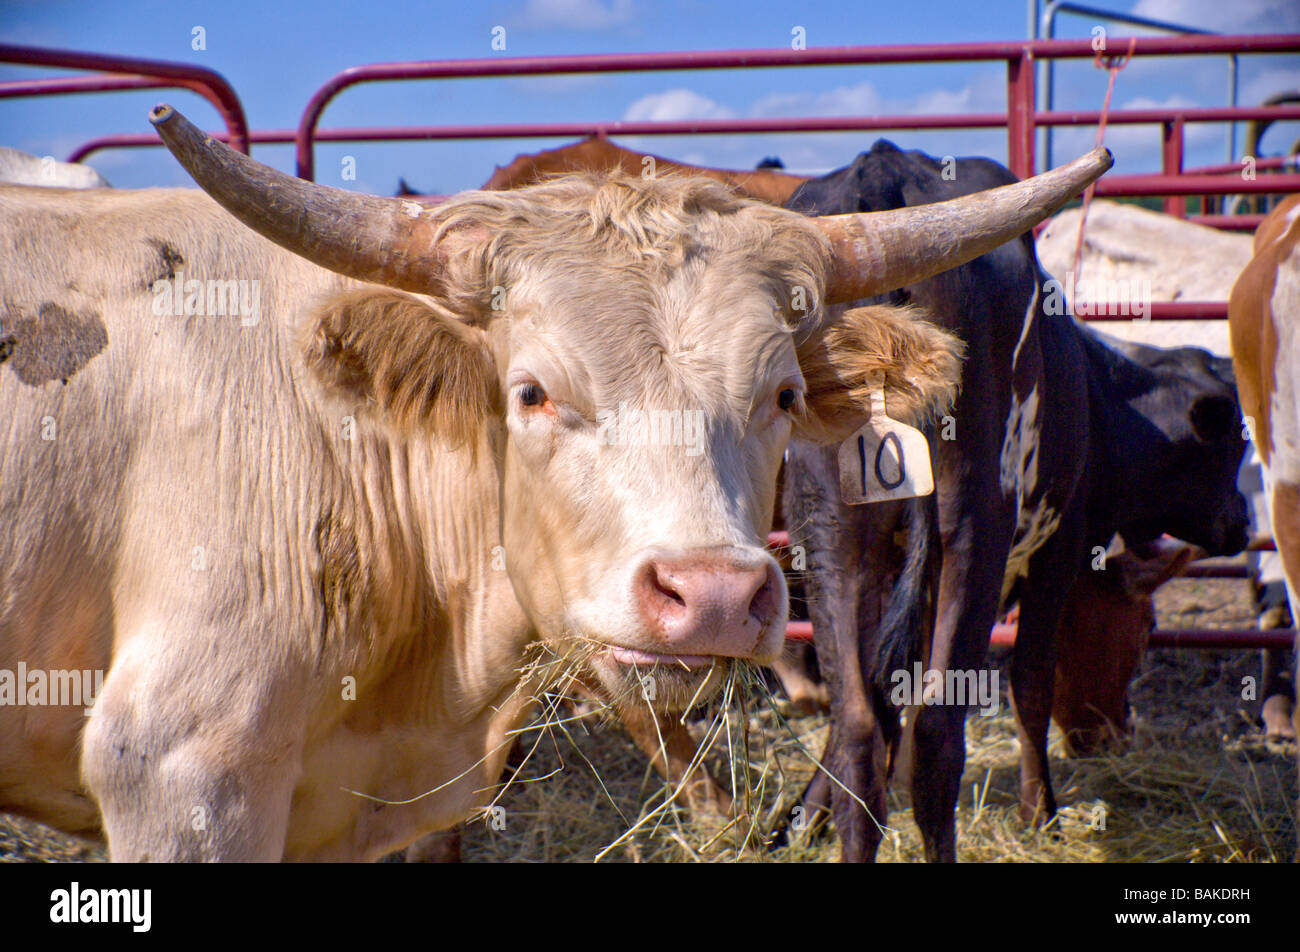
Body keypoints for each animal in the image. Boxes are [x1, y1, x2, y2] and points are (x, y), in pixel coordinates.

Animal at [778, 139, 1251, 862]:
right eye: (1230, 449)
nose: (1245, 523)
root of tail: (882, 170)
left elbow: (876, 708)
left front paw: (808, 814)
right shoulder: (1062, 543)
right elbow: (1030, 679)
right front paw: (1041, 811)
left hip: (835, 534)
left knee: (860, 727)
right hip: (976, 523)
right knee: (936, 736)